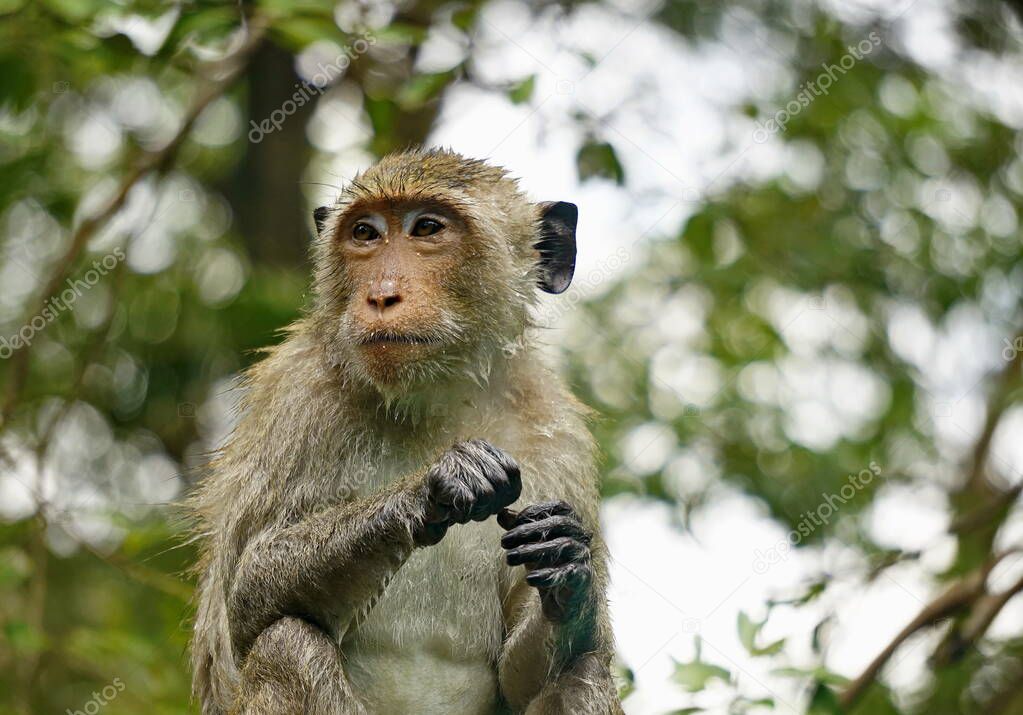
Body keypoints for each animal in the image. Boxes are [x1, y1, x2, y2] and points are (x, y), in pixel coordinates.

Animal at [188, 148, 622, 715]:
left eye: (428, 228)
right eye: (365, 233)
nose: (381, 295)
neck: (436, 399)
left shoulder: (558, 436)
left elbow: (524, 675)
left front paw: (568, 564)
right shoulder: (296, 399)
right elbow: (242, 600)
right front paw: (436, 485)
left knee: (582, 670)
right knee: (287, 641)